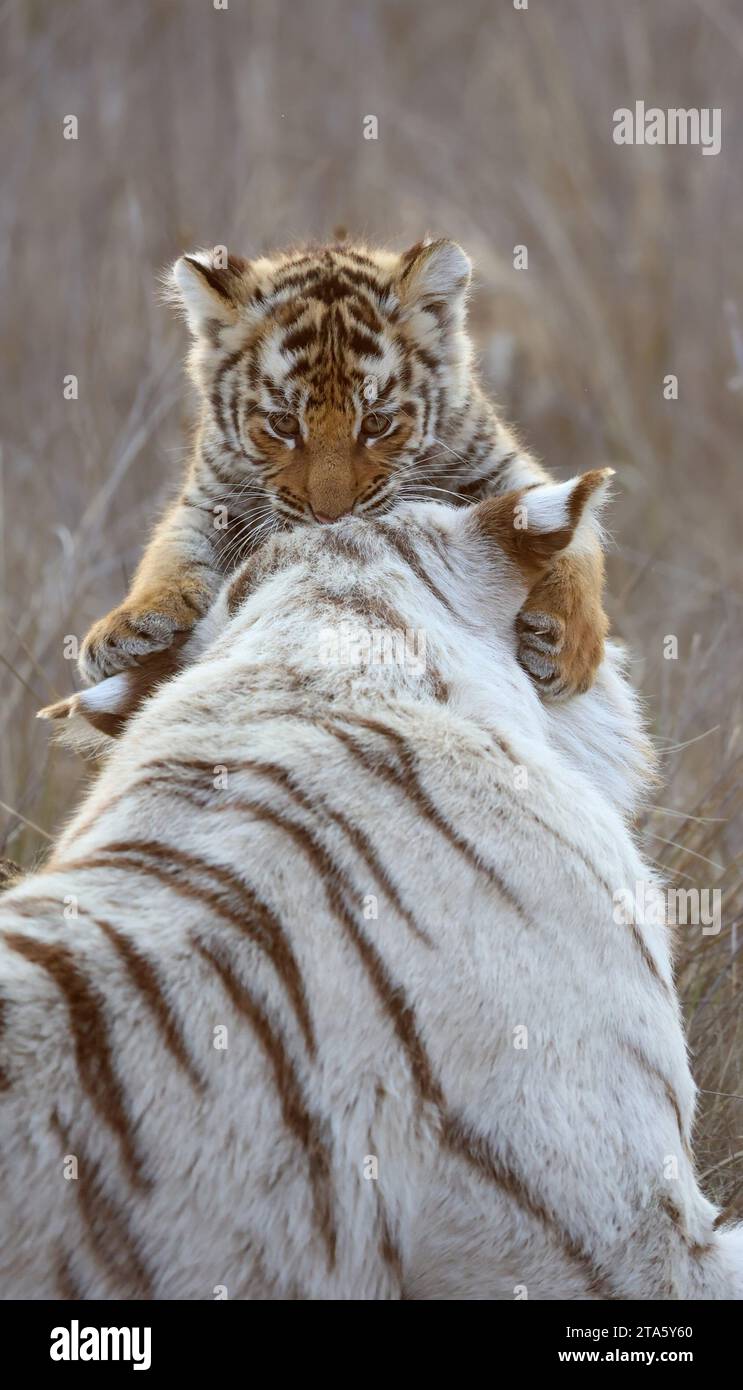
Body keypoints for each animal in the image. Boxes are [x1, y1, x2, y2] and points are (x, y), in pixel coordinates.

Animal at [78, 237, 607, 702]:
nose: (330, 518)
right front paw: (124, 629)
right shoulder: (210, 500)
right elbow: (170, 554)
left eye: (375, 423)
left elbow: (580, 535)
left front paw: (567, 648)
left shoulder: (501, 468)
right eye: (283, 423)